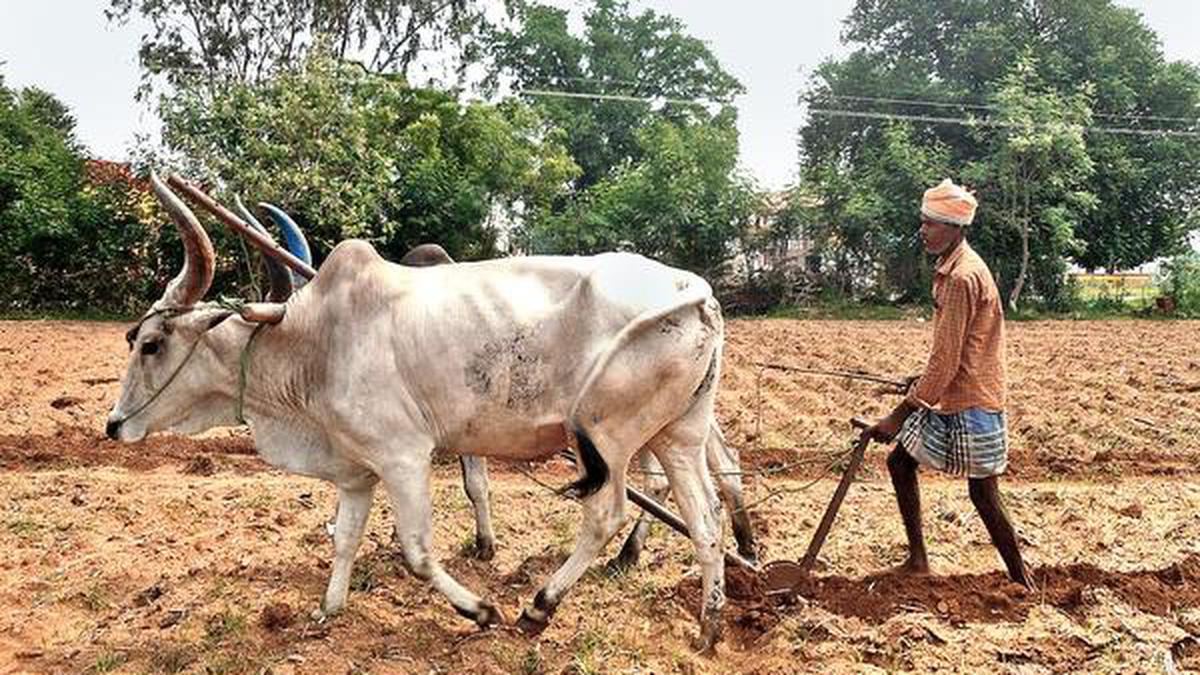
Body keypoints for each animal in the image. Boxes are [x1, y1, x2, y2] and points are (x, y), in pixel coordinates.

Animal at [106, 175, 729, 649]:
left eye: (151, 343)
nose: (114, 425)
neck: (315, 341)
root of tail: (692, 288)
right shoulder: (356, 472)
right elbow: (344, 540)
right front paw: (326, 613)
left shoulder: (403, 457)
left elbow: (417, 552)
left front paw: (480, 610)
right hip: (679, 435)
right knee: (708, 518)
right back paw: (709, 626)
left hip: (607, 438)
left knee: (606, 513)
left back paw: (539, 608)